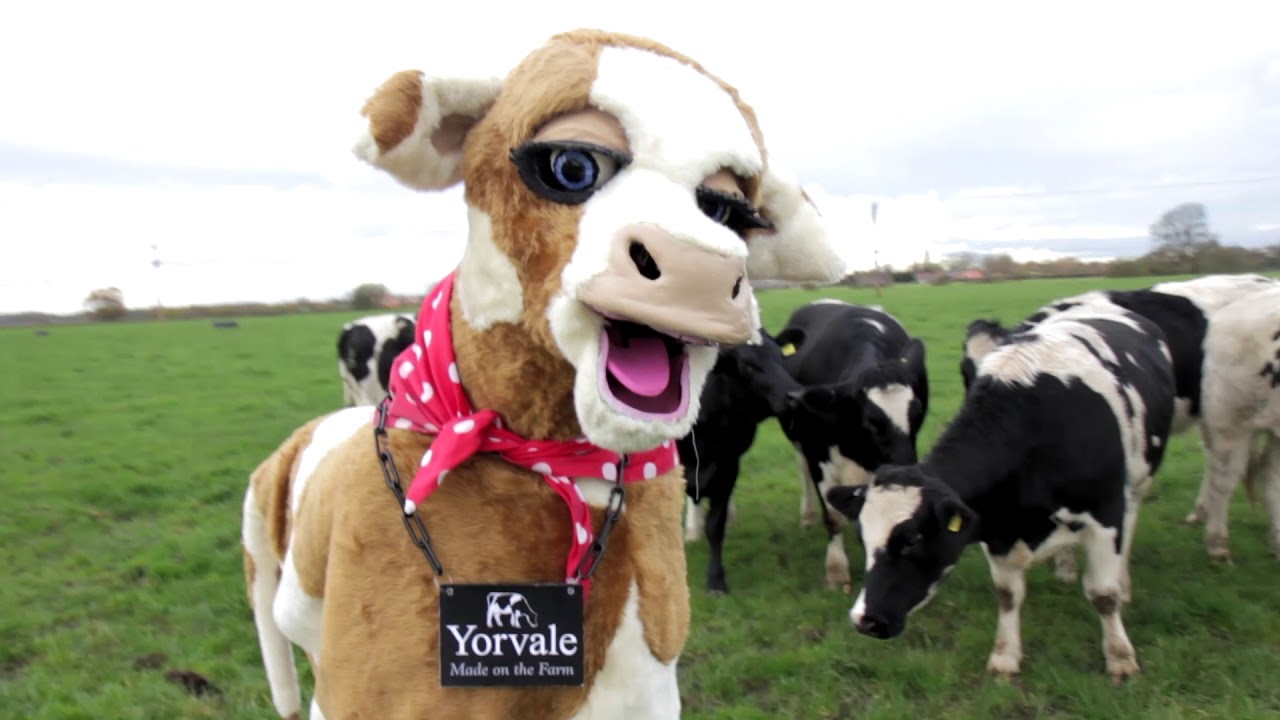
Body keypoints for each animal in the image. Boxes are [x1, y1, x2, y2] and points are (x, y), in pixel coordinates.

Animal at [680, 331, 801, 594]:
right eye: (748, 365)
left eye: (781, 357)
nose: (796, 396)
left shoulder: (727, 465)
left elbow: (715, 526)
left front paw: (716, 580)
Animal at [774, 299, 929, 590]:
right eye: (870, 421)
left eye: (917, 413)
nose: (907, 472)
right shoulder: (817, 455)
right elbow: (833, 517)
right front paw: (836, 571)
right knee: (803, 471)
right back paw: (807, 516)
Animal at [829, 301, 1176, 682]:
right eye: (862, 538)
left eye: (912, 540)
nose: (864, 620)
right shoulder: (995, 525)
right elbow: (1008, 594)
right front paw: (1005, 657)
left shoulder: (1105, 514)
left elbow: (1103, 594)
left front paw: (1120, 658)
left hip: (1138, 481)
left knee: (1130, 524)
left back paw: (1124, 581)